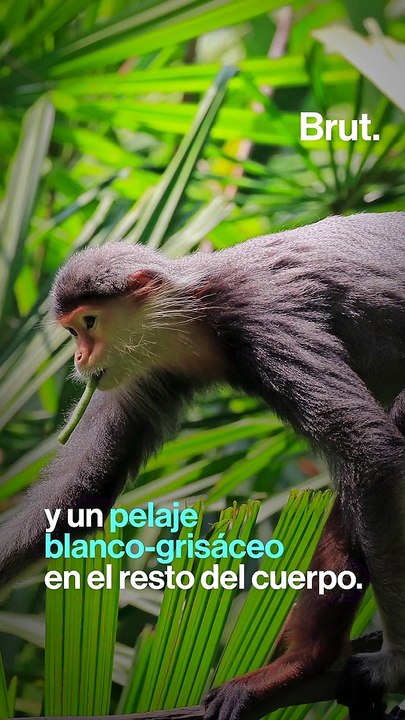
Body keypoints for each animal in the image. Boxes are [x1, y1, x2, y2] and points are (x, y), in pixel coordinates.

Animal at [1, 211, 405, 720]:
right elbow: (79, 492)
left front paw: (396, 660)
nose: (78, 356)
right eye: (72, 333)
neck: (201, 313)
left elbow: (369, 447)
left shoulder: (265, 324)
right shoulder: (151, 367)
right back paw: (306, 662)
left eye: (89, 323)